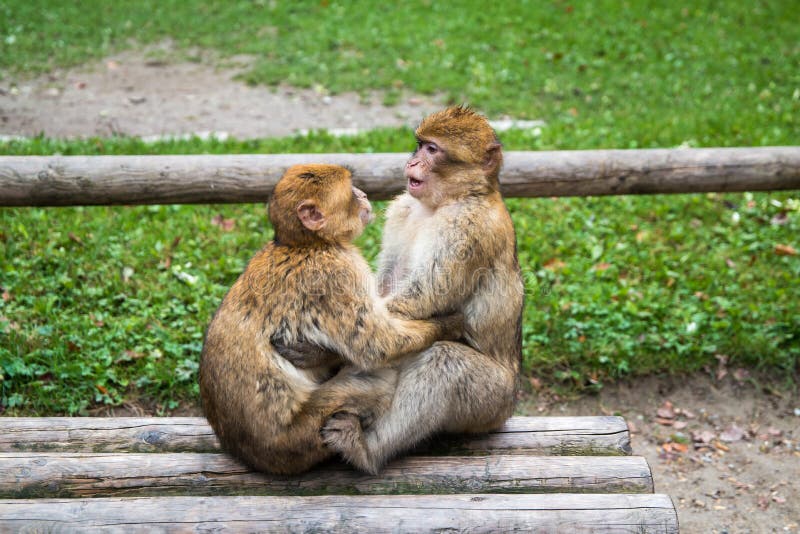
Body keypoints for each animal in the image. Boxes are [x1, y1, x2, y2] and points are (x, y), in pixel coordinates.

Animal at [198, 163, 463, 475]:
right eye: (350, 191)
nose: (363, 194)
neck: (308, 244)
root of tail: (253, 458)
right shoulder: (338, 272)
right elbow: (377, 346)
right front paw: (449, 325)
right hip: (301, 438)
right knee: (376, 379)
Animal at [318, 106, 524, 474]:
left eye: (432, 150)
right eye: (419, 145)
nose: (412, 162)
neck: (450, 200)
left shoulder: (468, 228)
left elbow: (426, 295)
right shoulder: (402, 209)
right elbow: (385, 287)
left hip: (491, 403)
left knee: (444, 363)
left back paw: (367, 450)